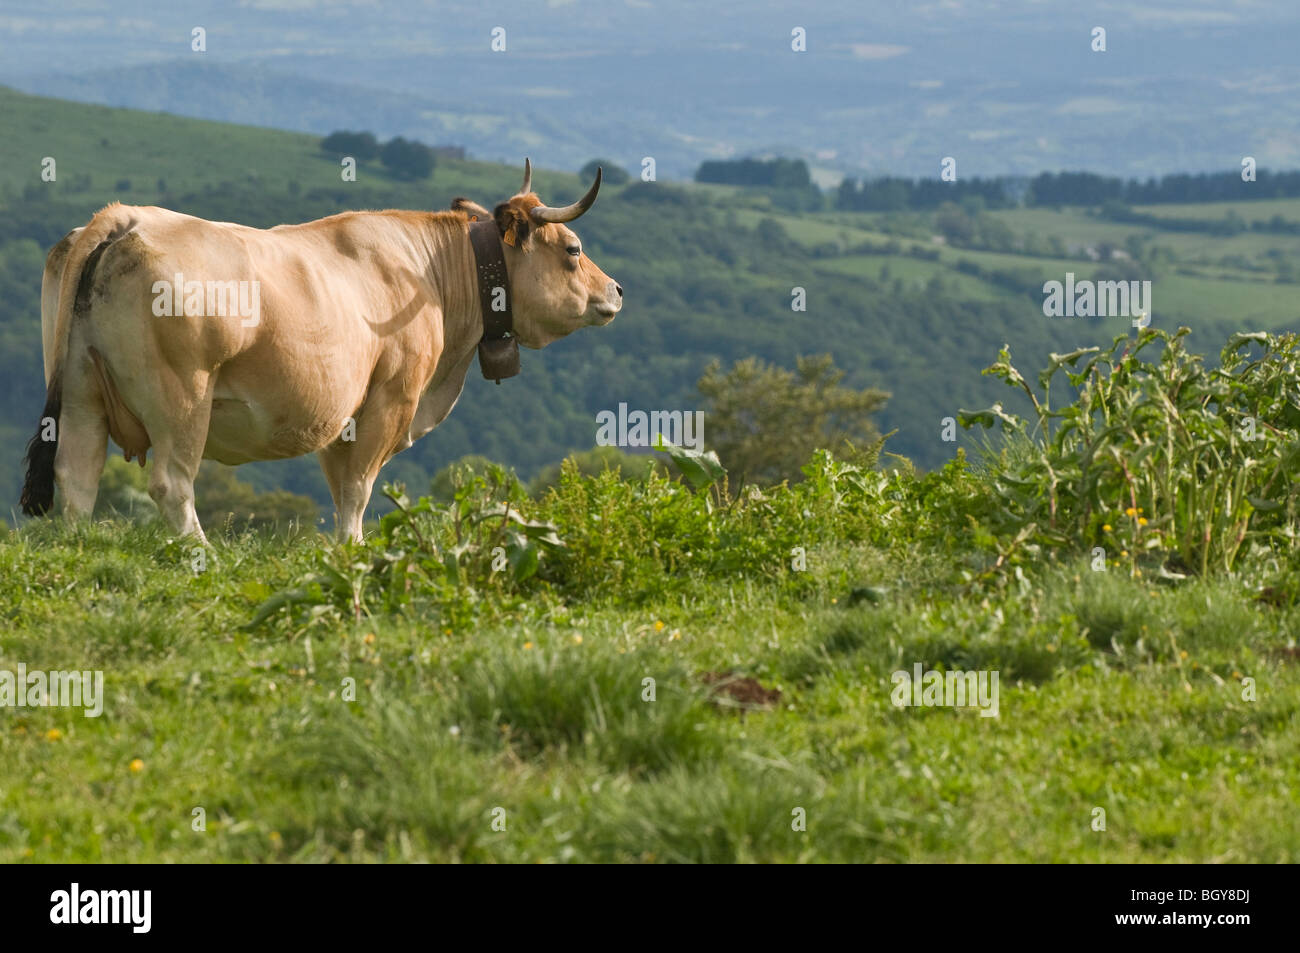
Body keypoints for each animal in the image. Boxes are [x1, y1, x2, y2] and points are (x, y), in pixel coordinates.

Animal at [20, 160, 622, 543]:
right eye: (573, 250)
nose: (616, 290)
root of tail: (123, 216)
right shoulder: (389, 400)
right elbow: (358, 492)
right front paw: (355, 555)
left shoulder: (342, 417)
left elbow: (340, 493)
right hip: (181, 399)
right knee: (171, 482)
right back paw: (202, 553)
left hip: (80, 392)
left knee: (76, 477)